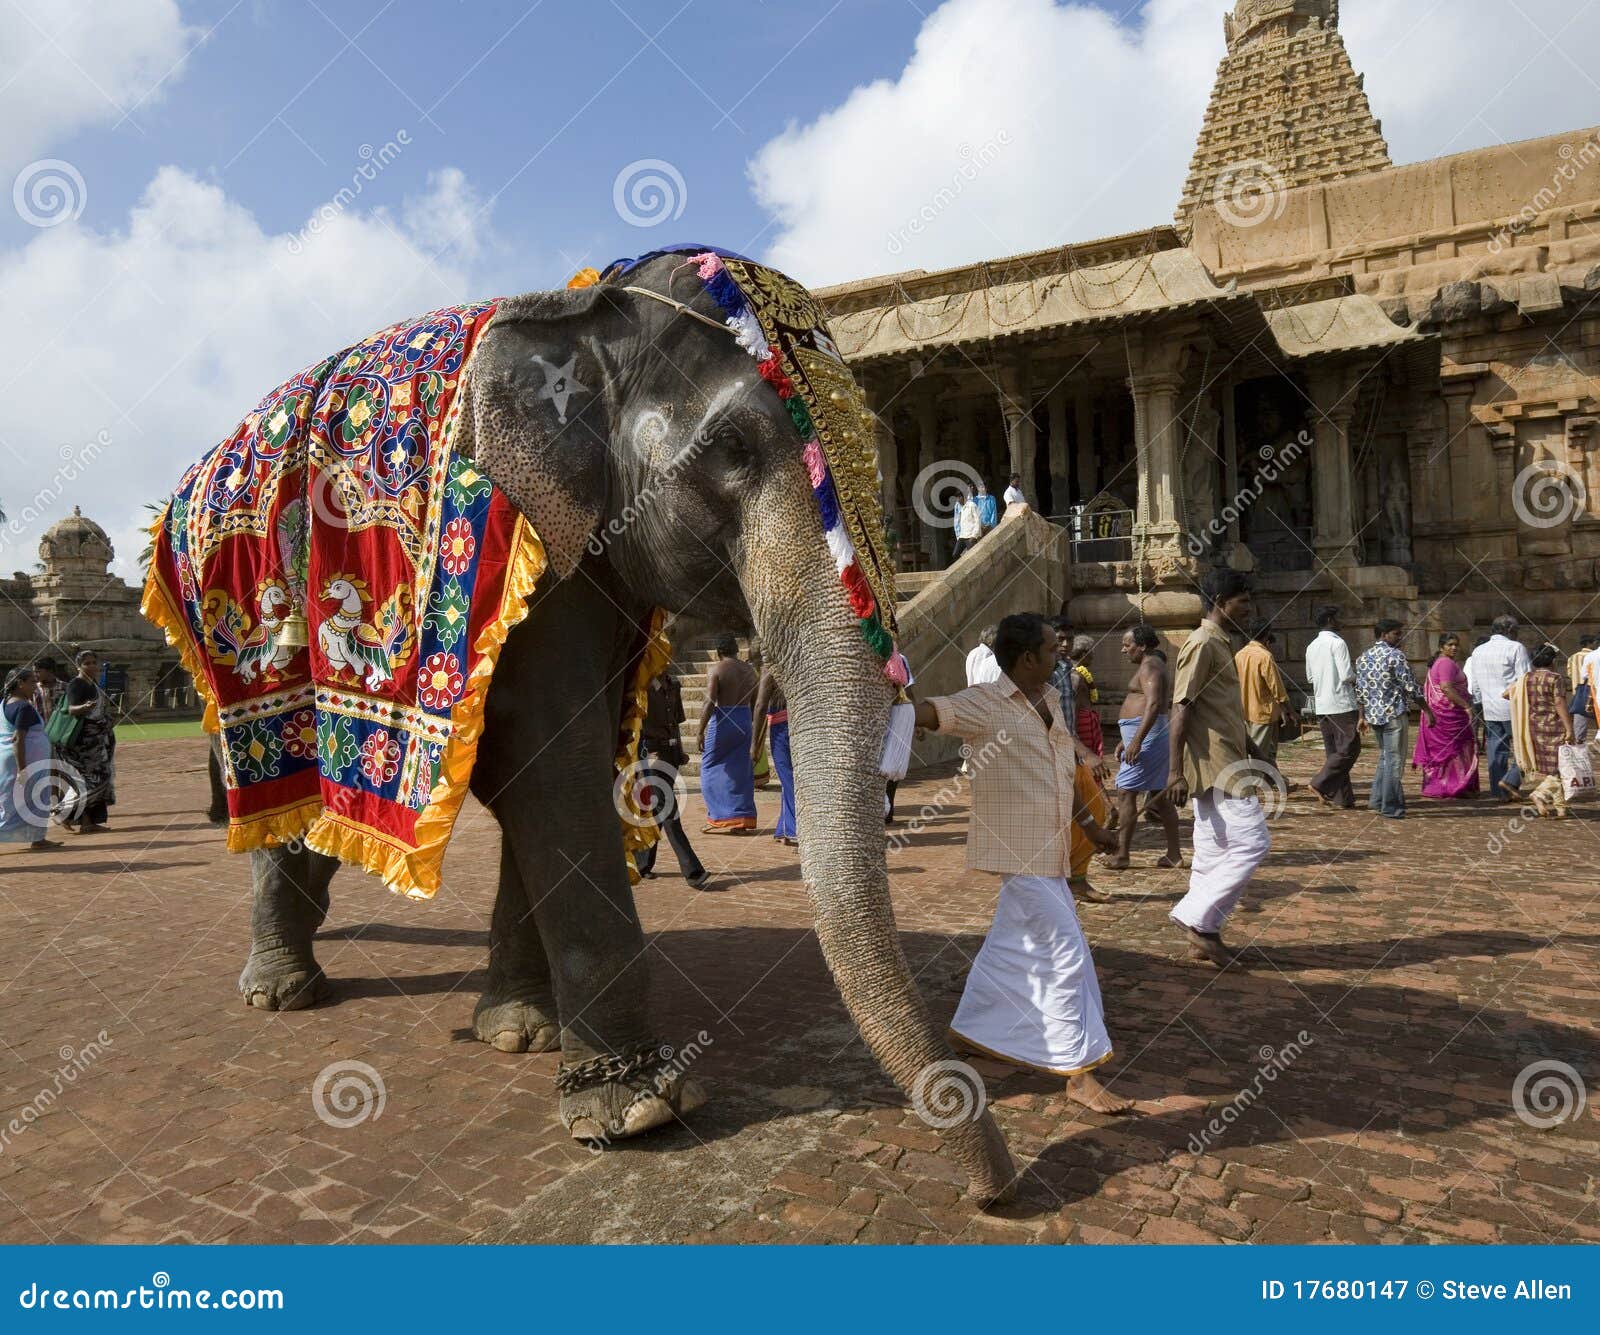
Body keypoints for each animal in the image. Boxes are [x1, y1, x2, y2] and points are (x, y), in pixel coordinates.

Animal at [226, 252, 1018, 1203]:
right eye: (733, 451)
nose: (996, 1190)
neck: (590, 316)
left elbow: (565, 760)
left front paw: (523, 1035)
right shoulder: (521, 534)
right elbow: (550, 763)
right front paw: (639, 1111)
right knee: (289, 785)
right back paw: (281, 991)